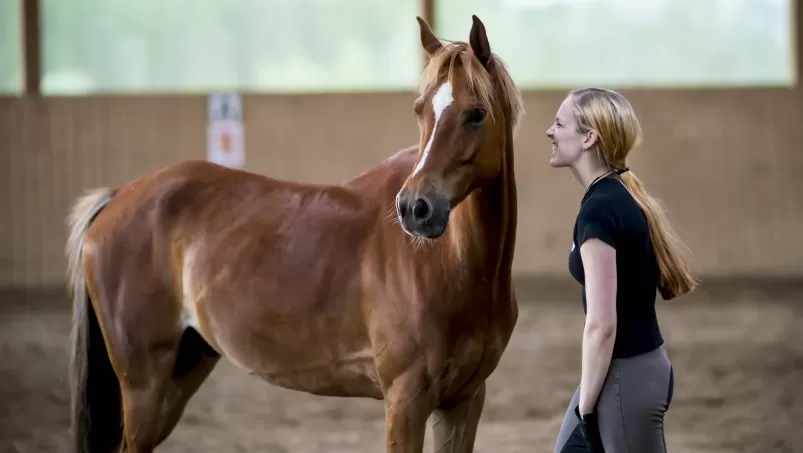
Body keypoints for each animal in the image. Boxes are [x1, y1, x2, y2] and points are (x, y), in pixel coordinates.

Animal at [64, 14, 528, 452]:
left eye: (476, 113)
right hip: (143, 383)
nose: (416, 209)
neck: (451, 266)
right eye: (421, 110)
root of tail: (120, 195)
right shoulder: (406, 402)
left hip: (183, 369)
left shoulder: (463, 401)